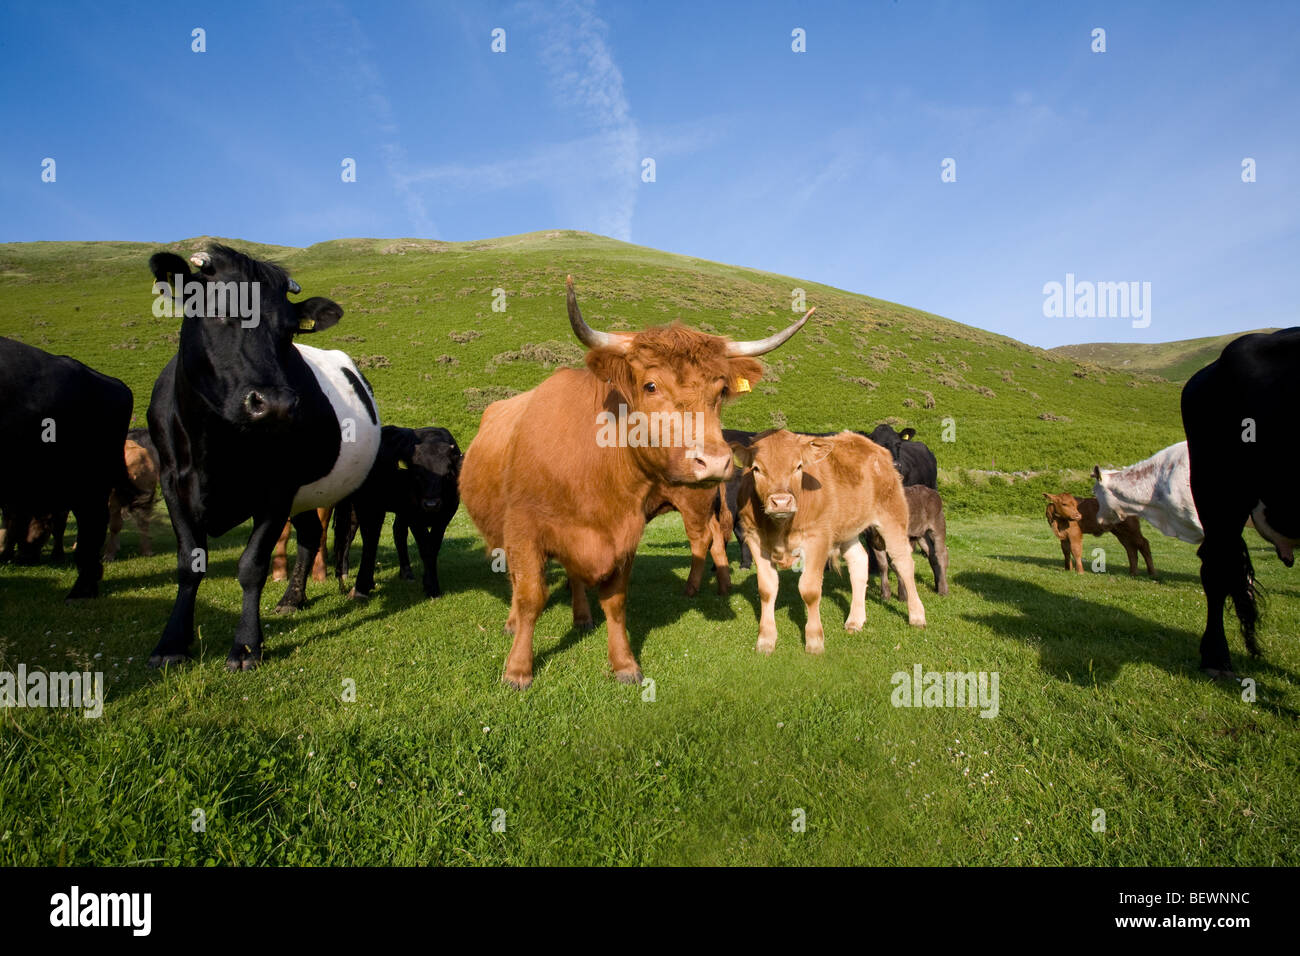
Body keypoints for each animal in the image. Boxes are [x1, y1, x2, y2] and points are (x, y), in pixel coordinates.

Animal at [145, 245, 381, 670]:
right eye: (217, 311)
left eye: (289, 331)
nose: (275, 404)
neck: (216, 446)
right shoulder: (172, 482)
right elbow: (190, 563)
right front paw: (171, 644)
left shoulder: (277, 488)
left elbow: (252, 565)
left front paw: (245, 646)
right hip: (308, 494)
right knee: (310, 534)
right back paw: (292, 598)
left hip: (362, 483)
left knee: (364, 529)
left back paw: (360, 586)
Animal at [333, 425, 461, 600]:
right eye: (417, 474)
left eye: (448, 474)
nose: (431, 504)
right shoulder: (414, 517)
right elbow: (425, 548)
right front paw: (432, 588)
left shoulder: (444, 517)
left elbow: (432, 548)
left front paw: (429, 582)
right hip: (356, 506)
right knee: (349, 536)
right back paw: (345, 573)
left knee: (396, 533)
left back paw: (406, 572)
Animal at [459, 276, 809, 688]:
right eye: (651, 386)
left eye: (721, 390)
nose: (715, 461)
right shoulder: (524, 531)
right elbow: (530, 596)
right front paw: (517, 669)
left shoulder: (623, 534)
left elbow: (615, 600)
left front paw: (624, 663)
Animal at [733, 429, 925, 653]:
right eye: (756, 468)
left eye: (798, 466)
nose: (781, 501)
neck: (781, 528)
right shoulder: (755, 540)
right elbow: (766, 589)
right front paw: (765, 639)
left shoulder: (818, 539)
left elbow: (809, 590)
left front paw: (814, 641)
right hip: (847, 529)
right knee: (859, 561)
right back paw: (855, 620)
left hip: (892, 515)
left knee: (904, 562)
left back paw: (917, 615)